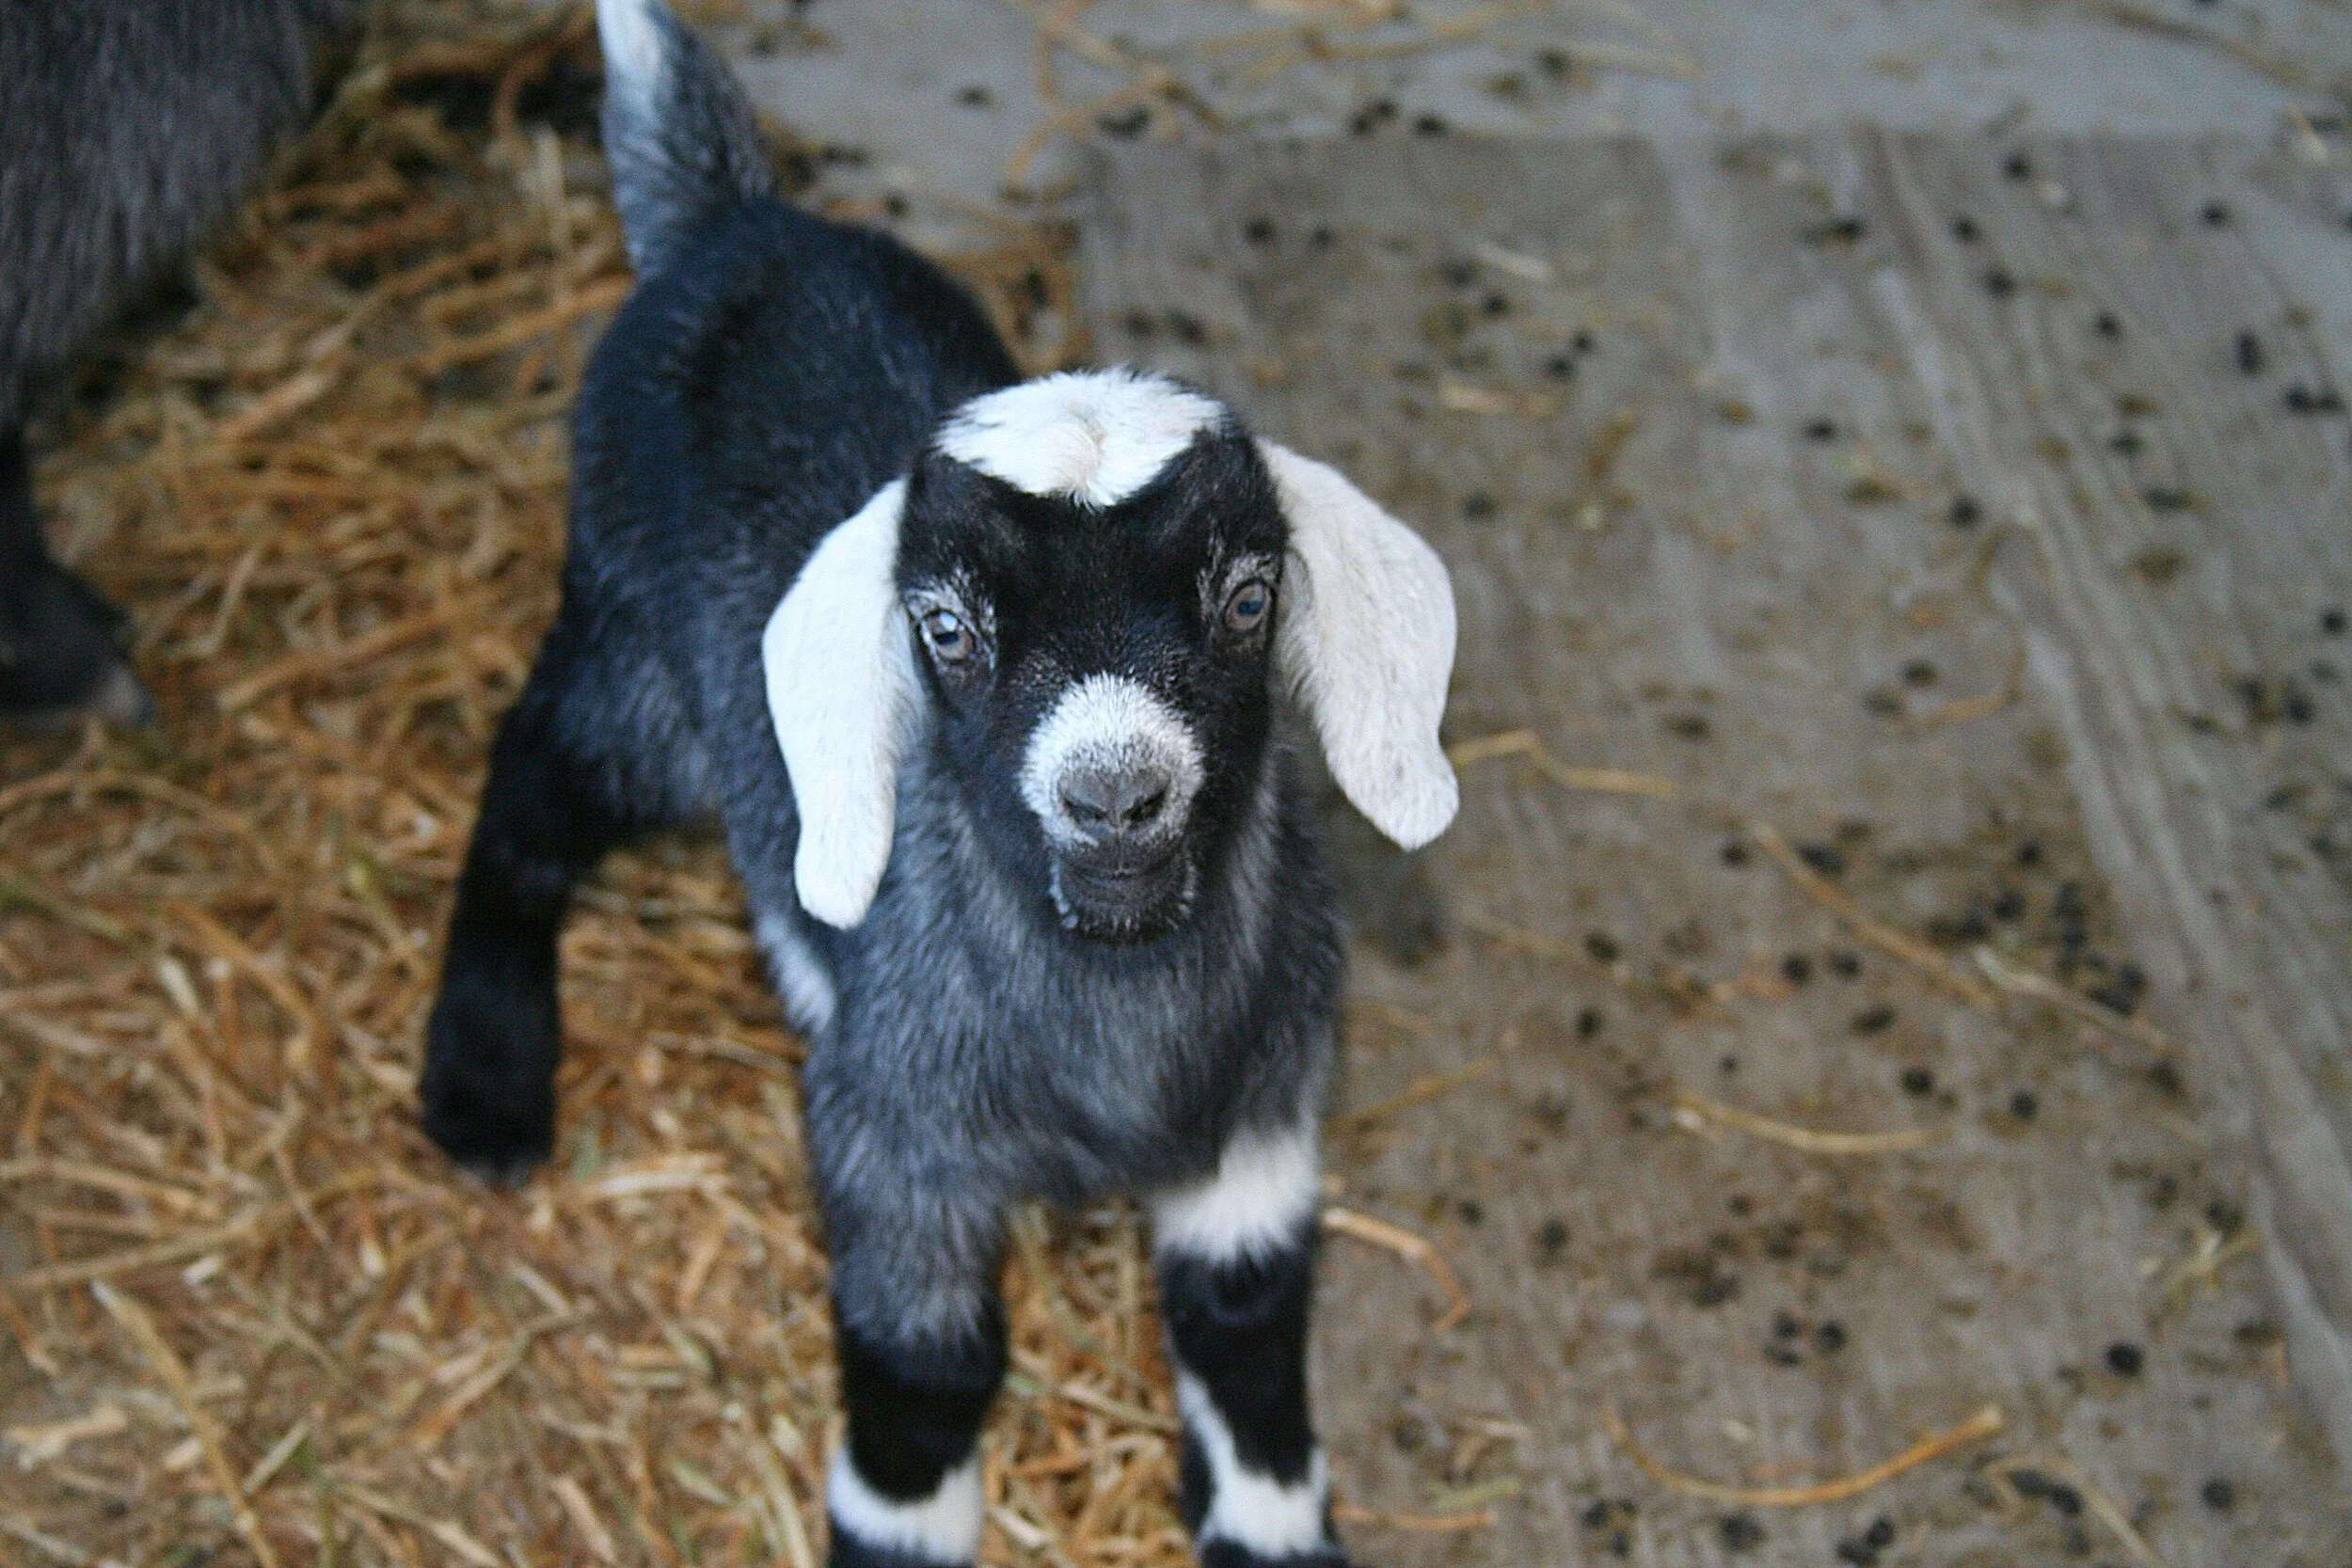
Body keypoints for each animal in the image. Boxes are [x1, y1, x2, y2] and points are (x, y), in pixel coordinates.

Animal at [419, 2, 1459, 1563]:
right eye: (949, 627)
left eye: (1249, 595)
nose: (1114, 794)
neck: (1112, 1025)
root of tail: (734, 218)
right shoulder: (893, 1138)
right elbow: (927, 1363)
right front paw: (900, 1523)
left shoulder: (1259, 1131)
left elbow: (1250, 1331)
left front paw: (1272, 1519)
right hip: (631, 658)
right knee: (533, 782)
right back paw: (484, 1082)